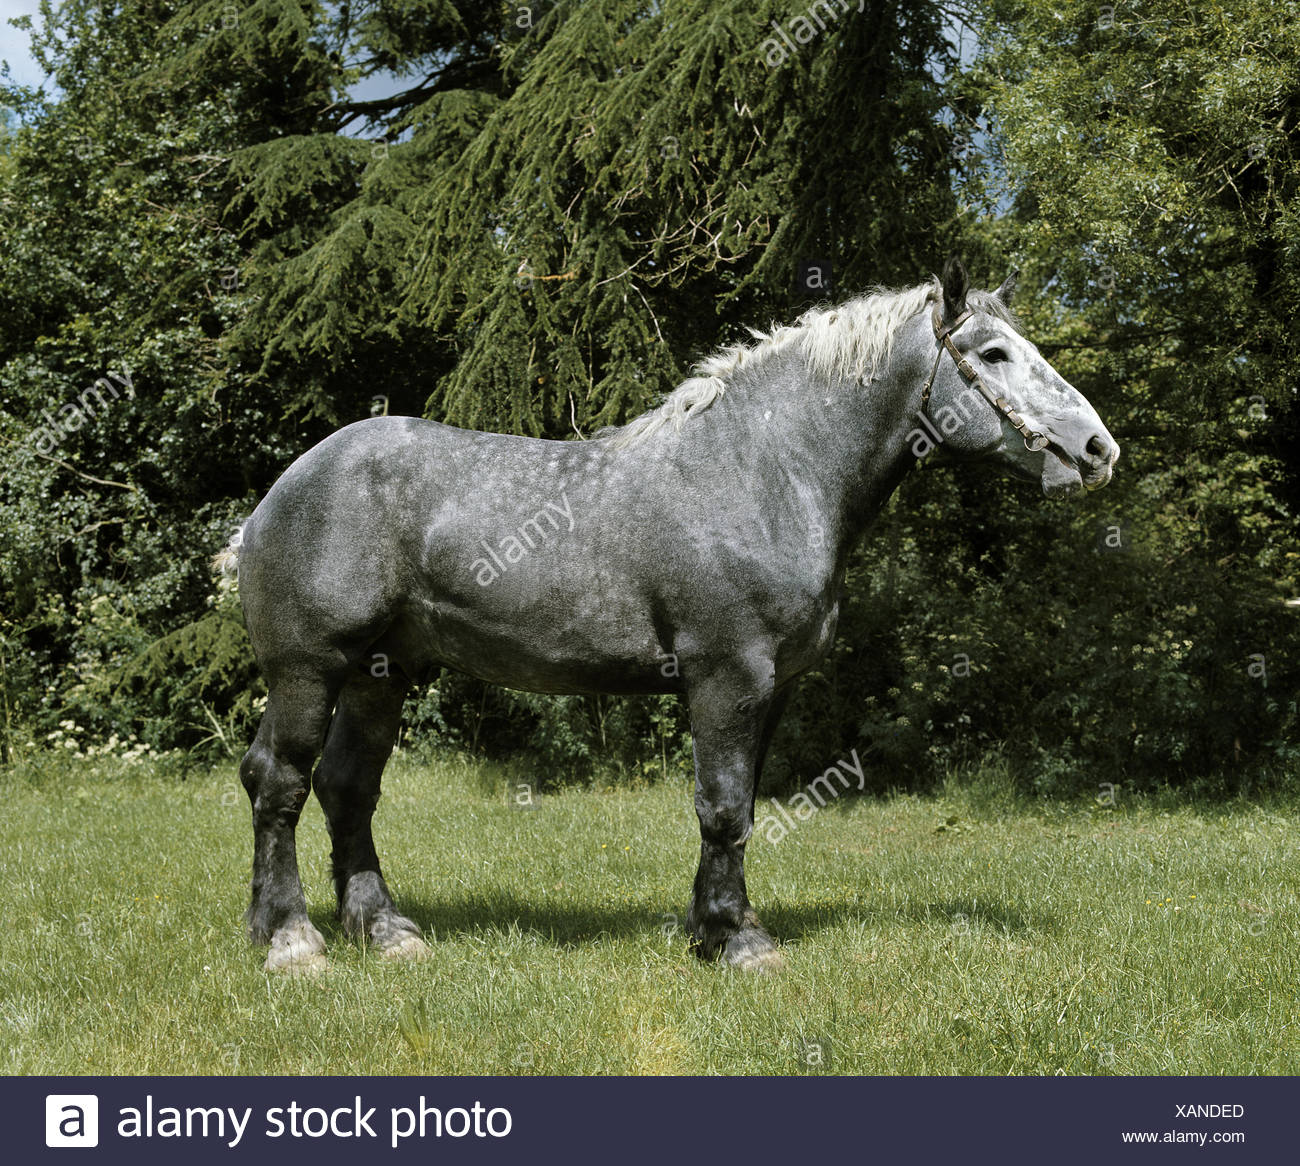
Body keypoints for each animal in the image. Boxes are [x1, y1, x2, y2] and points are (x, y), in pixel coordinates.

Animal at [214, 258, 1119, 973]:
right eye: (993, 354)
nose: (1096, 449)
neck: (764, 470)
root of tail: (277, 495)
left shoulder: (772, 687)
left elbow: (742, 808)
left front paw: (714, 928)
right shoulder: (727, 675)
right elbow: (719, 807)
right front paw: (739, 944)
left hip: (383, 670)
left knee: (343, 785)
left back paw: (383, 930)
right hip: (310, 669)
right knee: (281, 782)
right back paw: (290, 939)